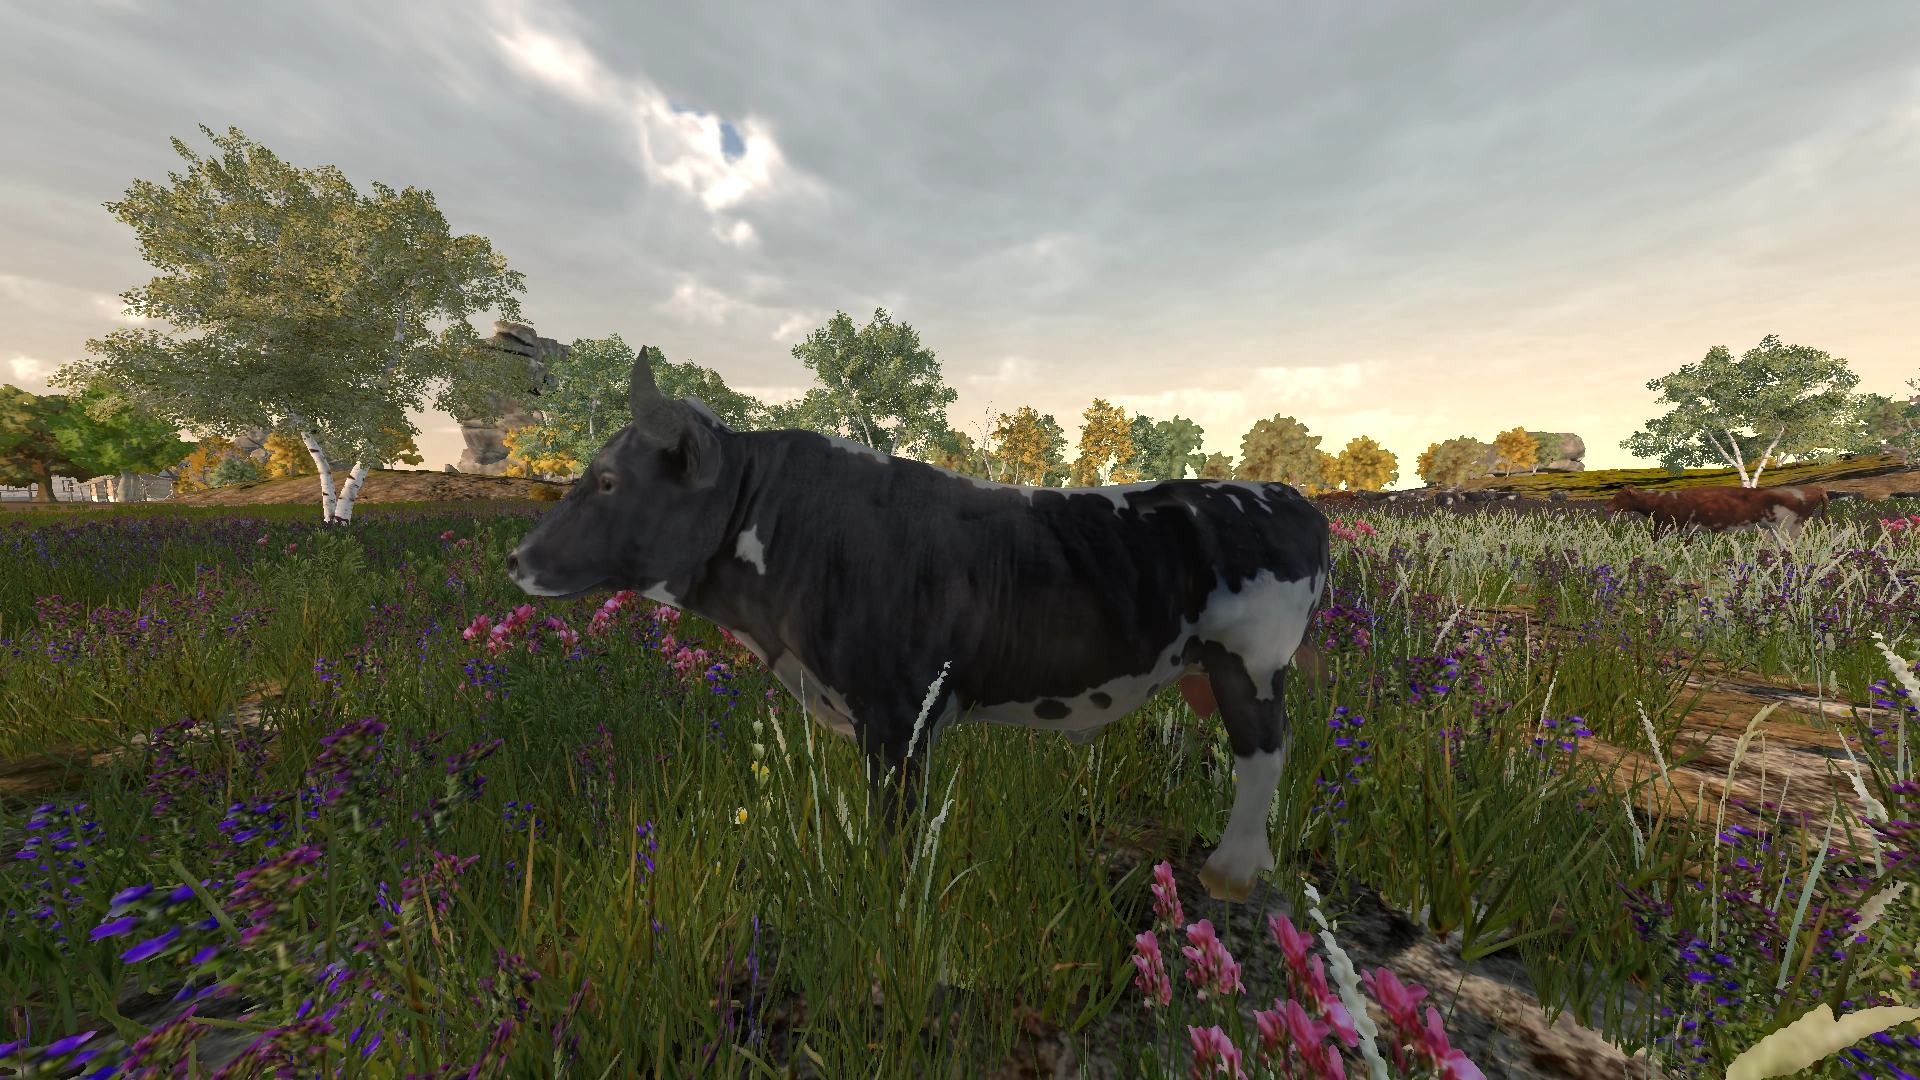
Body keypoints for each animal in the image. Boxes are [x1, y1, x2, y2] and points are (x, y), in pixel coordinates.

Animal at [506, 353, 1331, 902]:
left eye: (608, 481)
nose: (515, 558)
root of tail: (1288, 495)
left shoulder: (900, 715)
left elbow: (894, 830)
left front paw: (888, 903)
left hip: (1250, 663)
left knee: (1263, 756)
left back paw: (1229, 873)